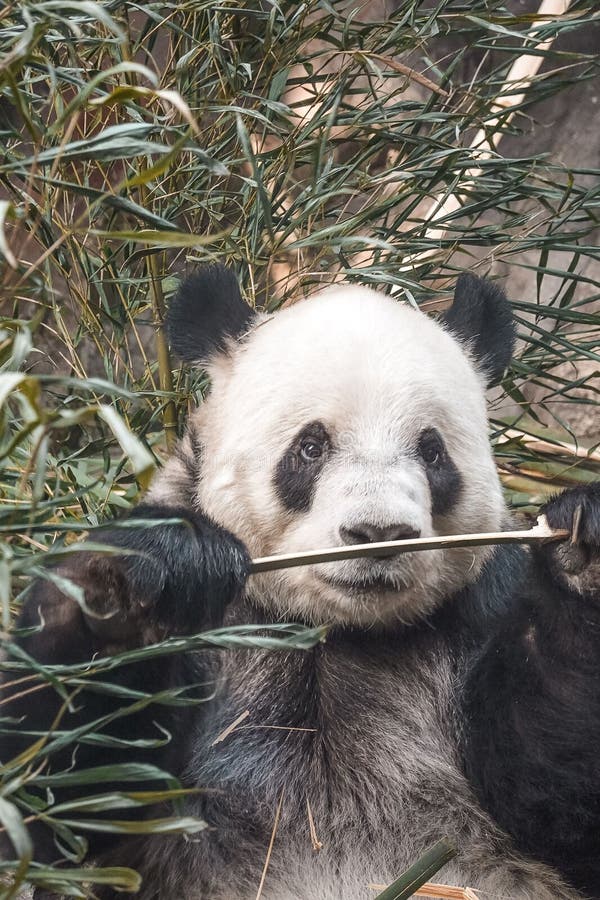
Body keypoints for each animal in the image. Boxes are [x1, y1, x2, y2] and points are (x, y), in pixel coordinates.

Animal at [4, 265, 600, 900]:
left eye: (433, 452)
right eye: (311, 447)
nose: (379, 532)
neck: (331, 632)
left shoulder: (481, 606)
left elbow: (555, 796)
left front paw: (583, 551)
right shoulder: (227, 627)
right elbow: (59, 790)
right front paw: (133, 587)